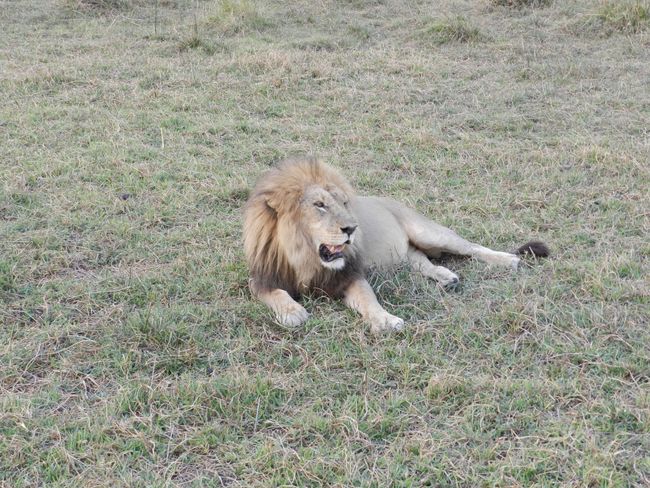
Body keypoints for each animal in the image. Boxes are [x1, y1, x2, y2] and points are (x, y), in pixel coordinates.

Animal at [243, 157, 548, 334]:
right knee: (420, 259)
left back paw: (508, 260)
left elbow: (369, 299)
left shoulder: (351, 275)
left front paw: (387, 321)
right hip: (408, 251)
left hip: (430, 233)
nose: (352, 229)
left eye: (344, 202)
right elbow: (276, 294)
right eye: (319, 204)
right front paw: (293, 312)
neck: (304, 256)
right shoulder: (260, 279)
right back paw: (446, 277)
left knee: (471, 247)